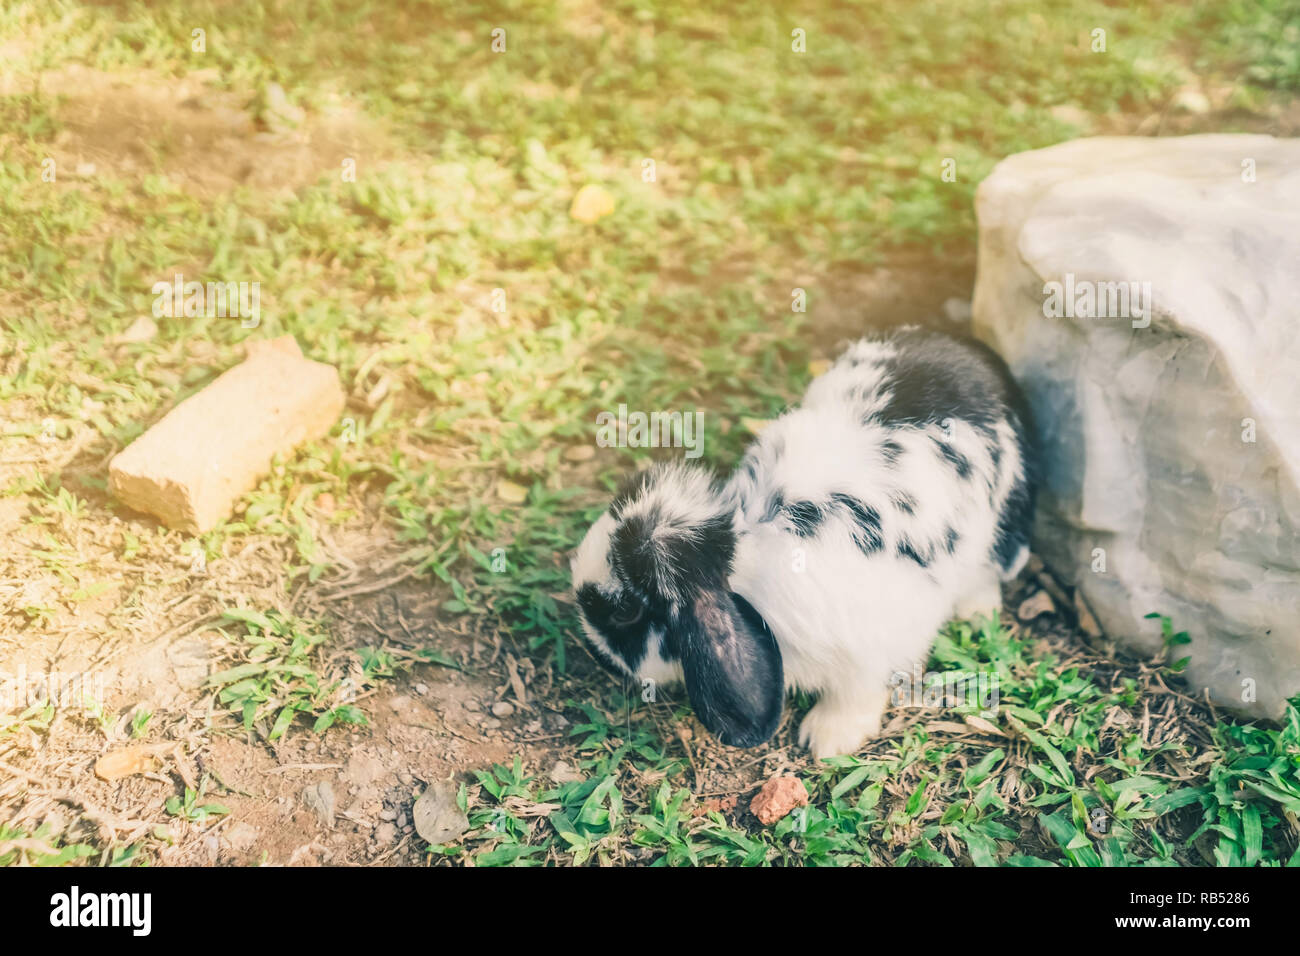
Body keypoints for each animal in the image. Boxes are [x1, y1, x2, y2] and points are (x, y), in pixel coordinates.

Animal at [570, 325, 1038, 758]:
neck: (745, 554)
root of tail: (974, 351)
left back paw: (978, 614)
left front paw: (828, 740)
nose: (595, 652)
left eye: (626, 612)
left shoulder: (874, 651)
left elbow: (858, 695)